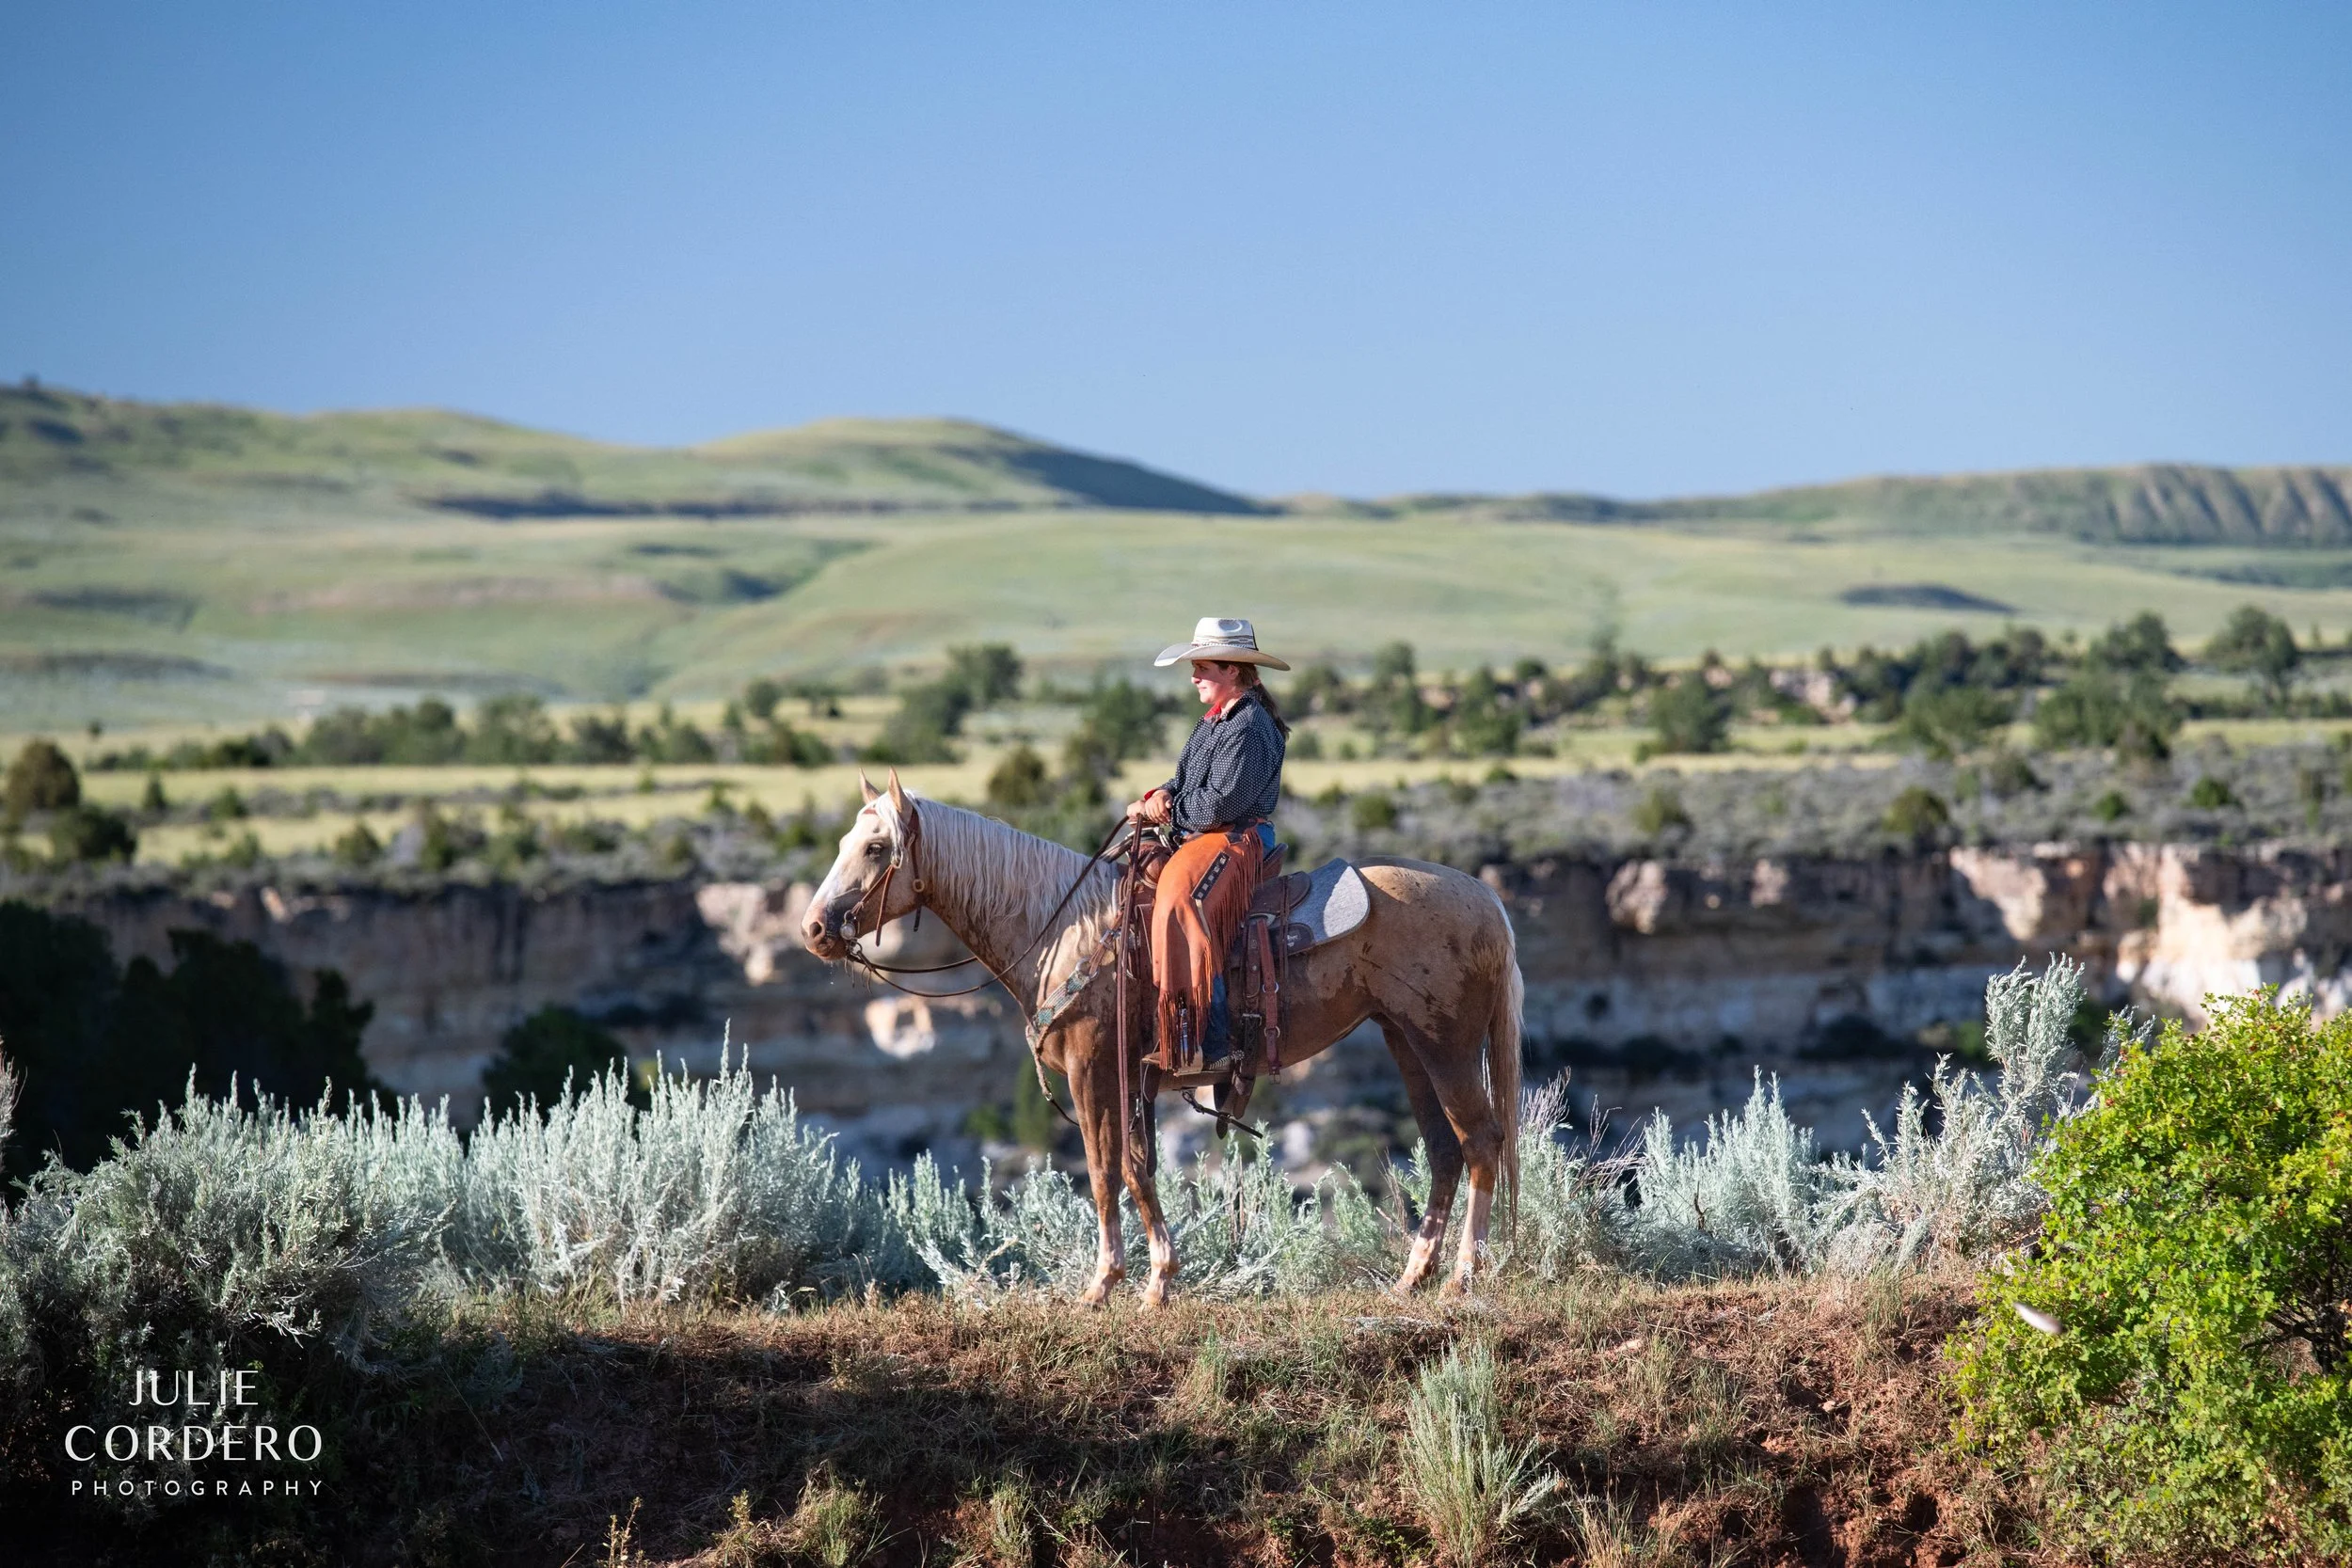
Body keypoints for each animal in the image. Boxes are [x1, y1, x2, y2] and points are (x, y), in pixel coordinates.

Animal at [799, 770, 1523, 1306]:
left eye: (875, 848)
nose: (813, 928)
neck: (1067, 928)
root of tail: (1485, 897)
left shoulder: (1092, 1068)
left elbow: (1103, 1171)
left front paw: (1104, 1286)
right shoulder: (1132, 1079)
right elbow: (1140, 1169)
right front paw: (1158, 1281)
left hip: (1447, 1044)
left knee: (1480, 1140)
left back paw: (1462, 1276)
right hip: (1406, 1041)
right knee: (1444, 1150)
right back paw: (1413, 1277)